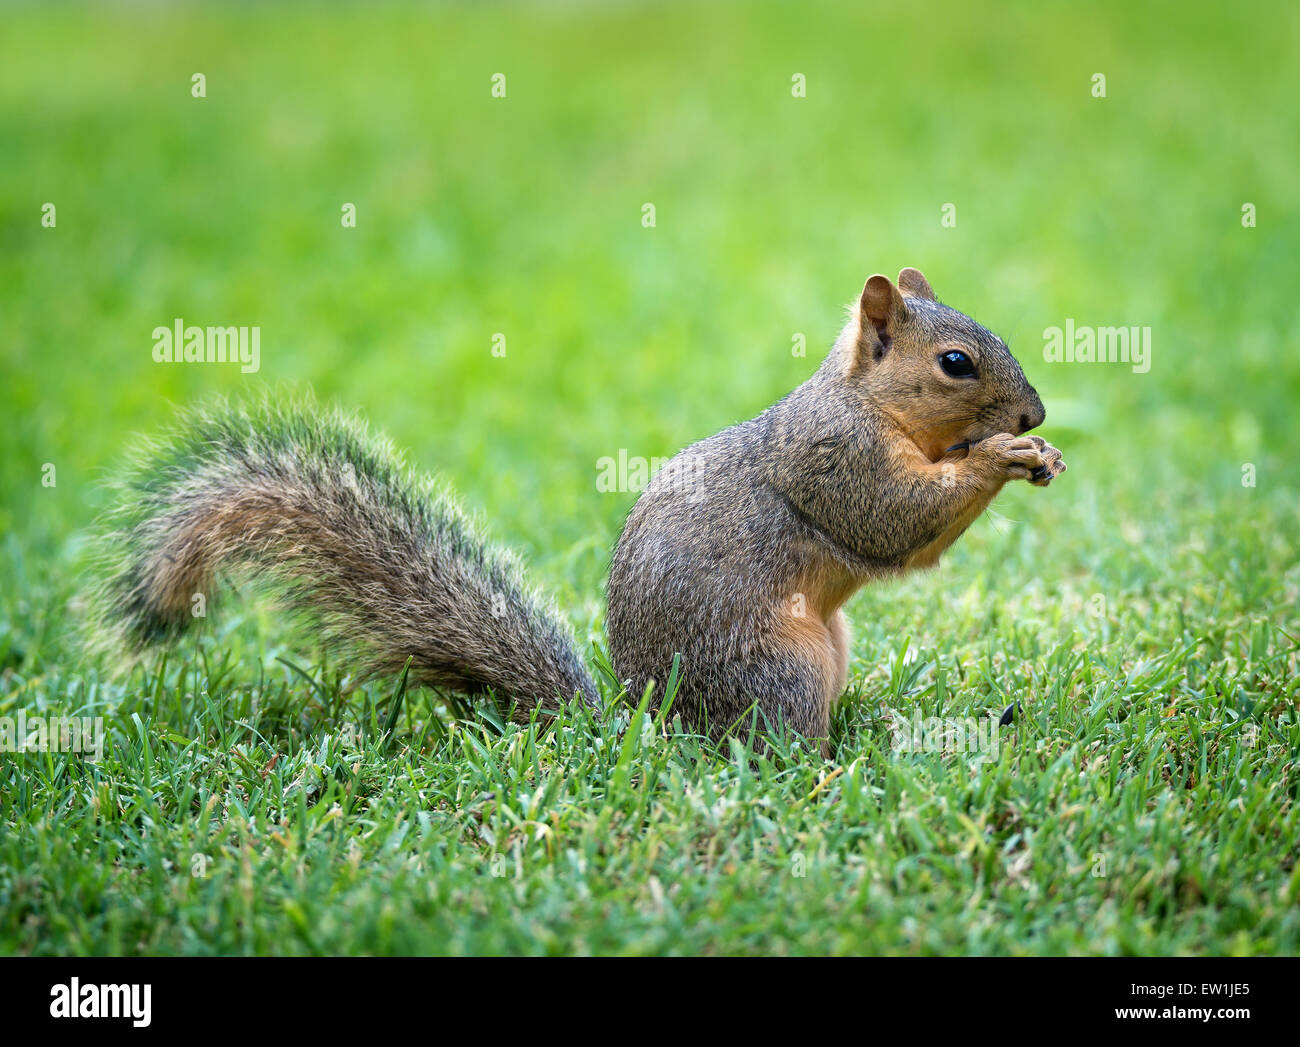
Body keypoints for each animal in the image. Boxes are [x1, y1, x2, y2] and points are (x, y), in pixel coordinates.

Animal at [92, 267, 1064, 755]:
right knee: (774, 750)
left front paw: (1035, 454)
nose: (1035, 415)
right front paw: (1000, 456)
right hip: (774, 669)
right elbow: (895, 522)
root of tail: (648, 726)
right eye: (955, 363)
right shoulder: (837, 459)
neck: (866, 401)